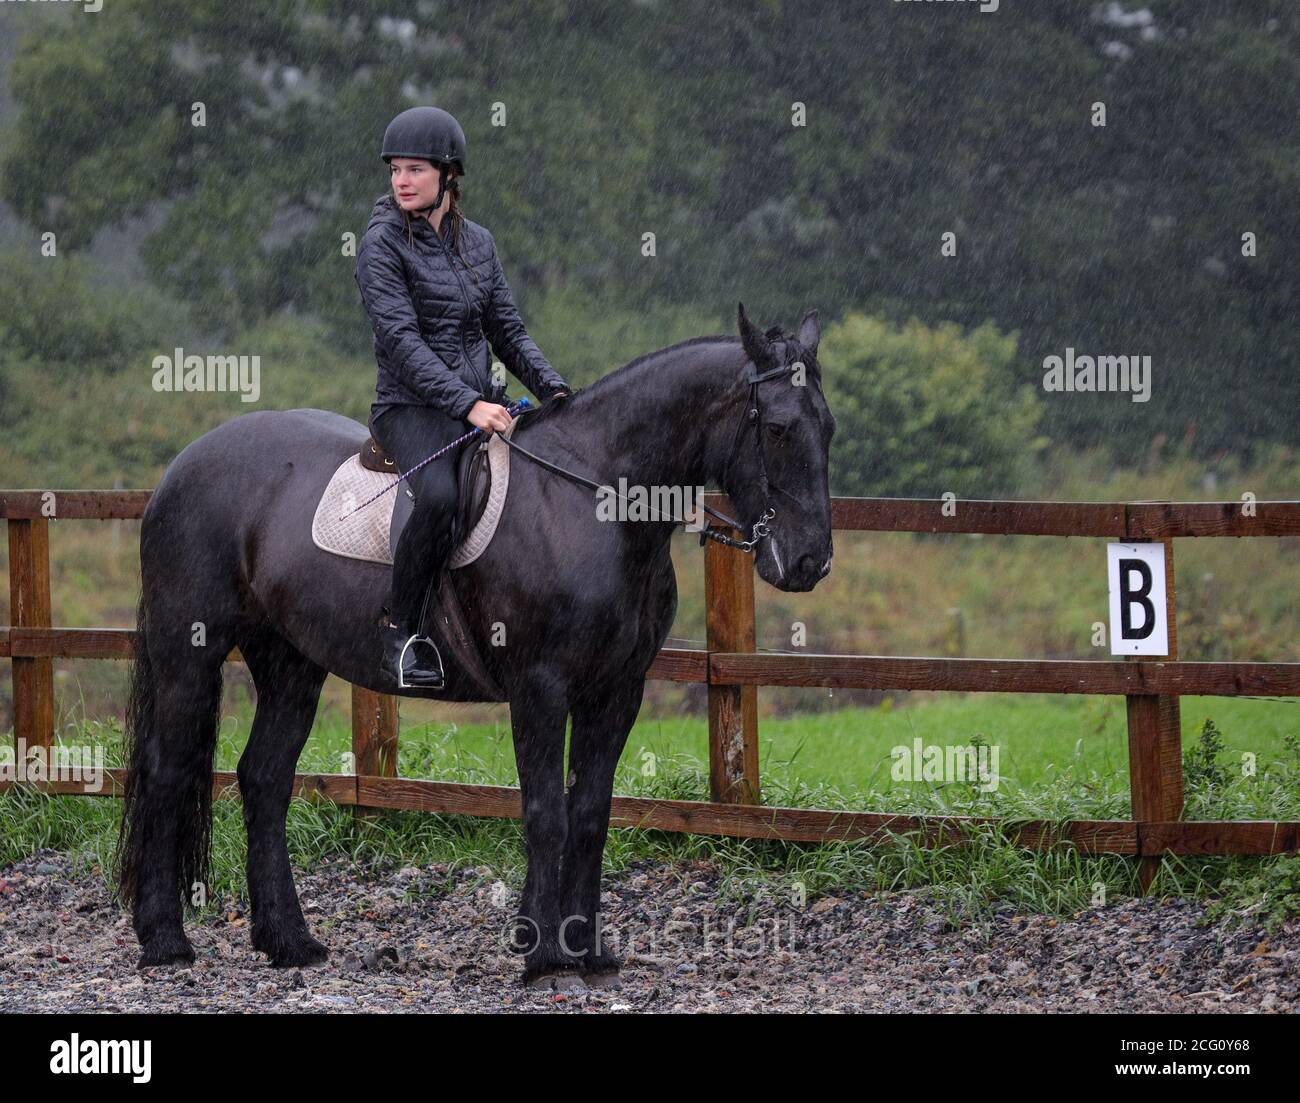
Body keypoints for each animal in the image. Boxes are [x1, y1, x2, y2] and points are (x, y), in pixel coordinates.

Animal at [113, 302, 835, 986]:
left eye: (826, 427)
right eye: (776, 427)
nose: (809, 562)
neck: (591, 498)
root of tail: (185, 462)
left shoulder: (616, 690)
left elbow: (591, 812)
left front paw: (588, 951)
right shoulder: (540, 686)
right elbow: (546, 812)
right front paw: (543, 954)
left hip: (291, 664)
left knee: (264, 778)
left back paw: (288, 942)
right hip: (189, 652)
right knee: (167, 772)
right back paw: (165, 941)